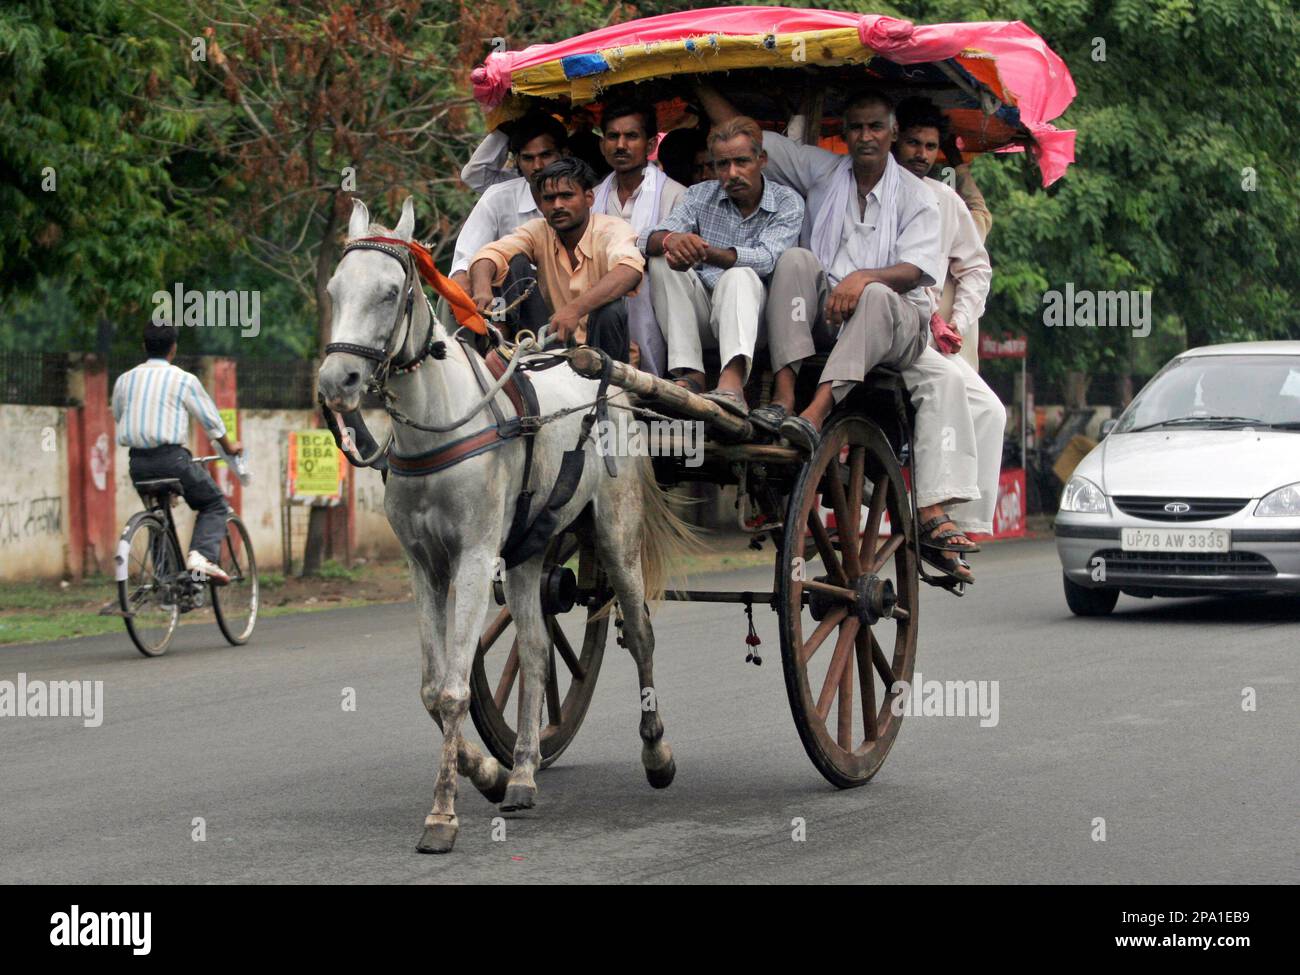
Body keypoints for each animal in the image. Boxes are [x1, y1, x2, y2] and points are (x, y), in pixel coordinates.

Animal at [317, 197, 692, 853]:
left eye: (390, 293)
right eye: (336, 289)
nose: (337, 383)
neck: (441, 427)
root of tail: (614, 386)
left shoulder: (472, 558)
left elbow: (452, 689)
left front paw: (442, 816)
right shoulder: (423, 566)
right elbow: (432, 687)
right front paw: (487, 772)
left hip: (615, 534)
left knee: (640, 632)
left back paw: (656, 753)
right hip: (528, 552)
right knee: (538, 652)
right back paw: (520, 773)